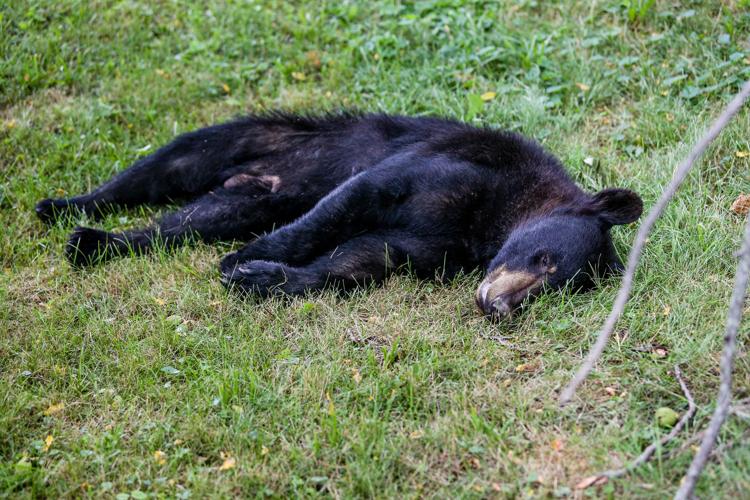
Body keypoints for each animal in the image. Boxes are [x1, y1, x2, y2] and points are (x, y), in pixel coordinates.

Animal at [35, 112, 643, 319]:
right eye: (544, 258)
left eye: (554, 290)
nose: (499, 306)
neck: (493, 222)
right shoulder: (450, 173)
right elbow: (352, 202)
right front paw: (245, 260)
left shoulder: (441, 247)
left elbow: (368, 258)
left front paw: (262, 278)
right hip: (258, 137)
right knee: (166, 166)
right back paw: (64, 208)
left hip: (240, 199)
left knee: (180, 224)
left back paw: (93, 243)